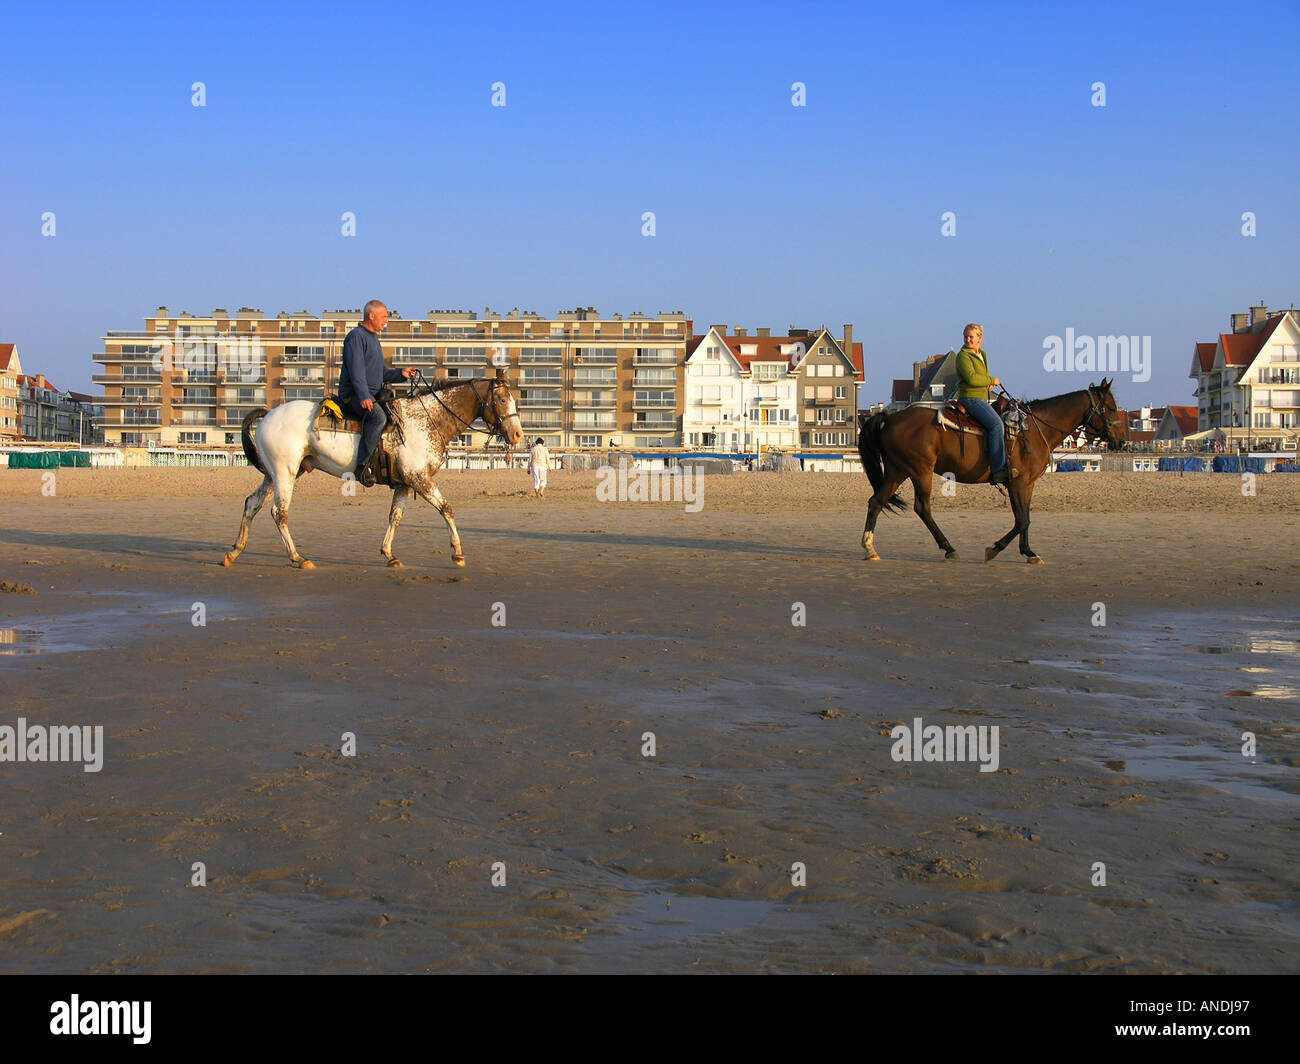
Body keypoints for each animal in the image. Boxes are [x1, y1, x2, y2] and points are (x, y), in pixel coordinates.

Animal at [222, 369, 524, 570]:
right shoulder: (419, 478)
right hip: (285, 473)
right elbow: (446, 509)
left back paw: (235, 551)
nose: (518, 434)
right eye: (501, 400)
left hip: (275, 474)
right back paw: (297, 557)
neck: (426, 419)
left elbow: (395, 517)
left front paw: (389, 553)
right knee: (279, 512)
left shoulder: (404, 483)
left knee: (252, 504)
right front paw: (457, 552)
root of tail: (269, 414)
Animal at [858, 378, 1126, 564]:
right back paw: (948, 547)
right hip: (920, 470)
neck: (1034, 429)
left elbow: (1025, 518)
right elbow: (1022, 519)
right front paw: (995, 549)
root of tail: (891, 419)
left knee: (876, 501)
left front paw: (1028, 552)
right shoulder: (1017, 481)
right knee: (922, 508)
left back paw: (870, 548)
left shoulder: (1028, 483)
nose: (1121, 441)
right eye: (1111, 408)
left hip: (897, 470)